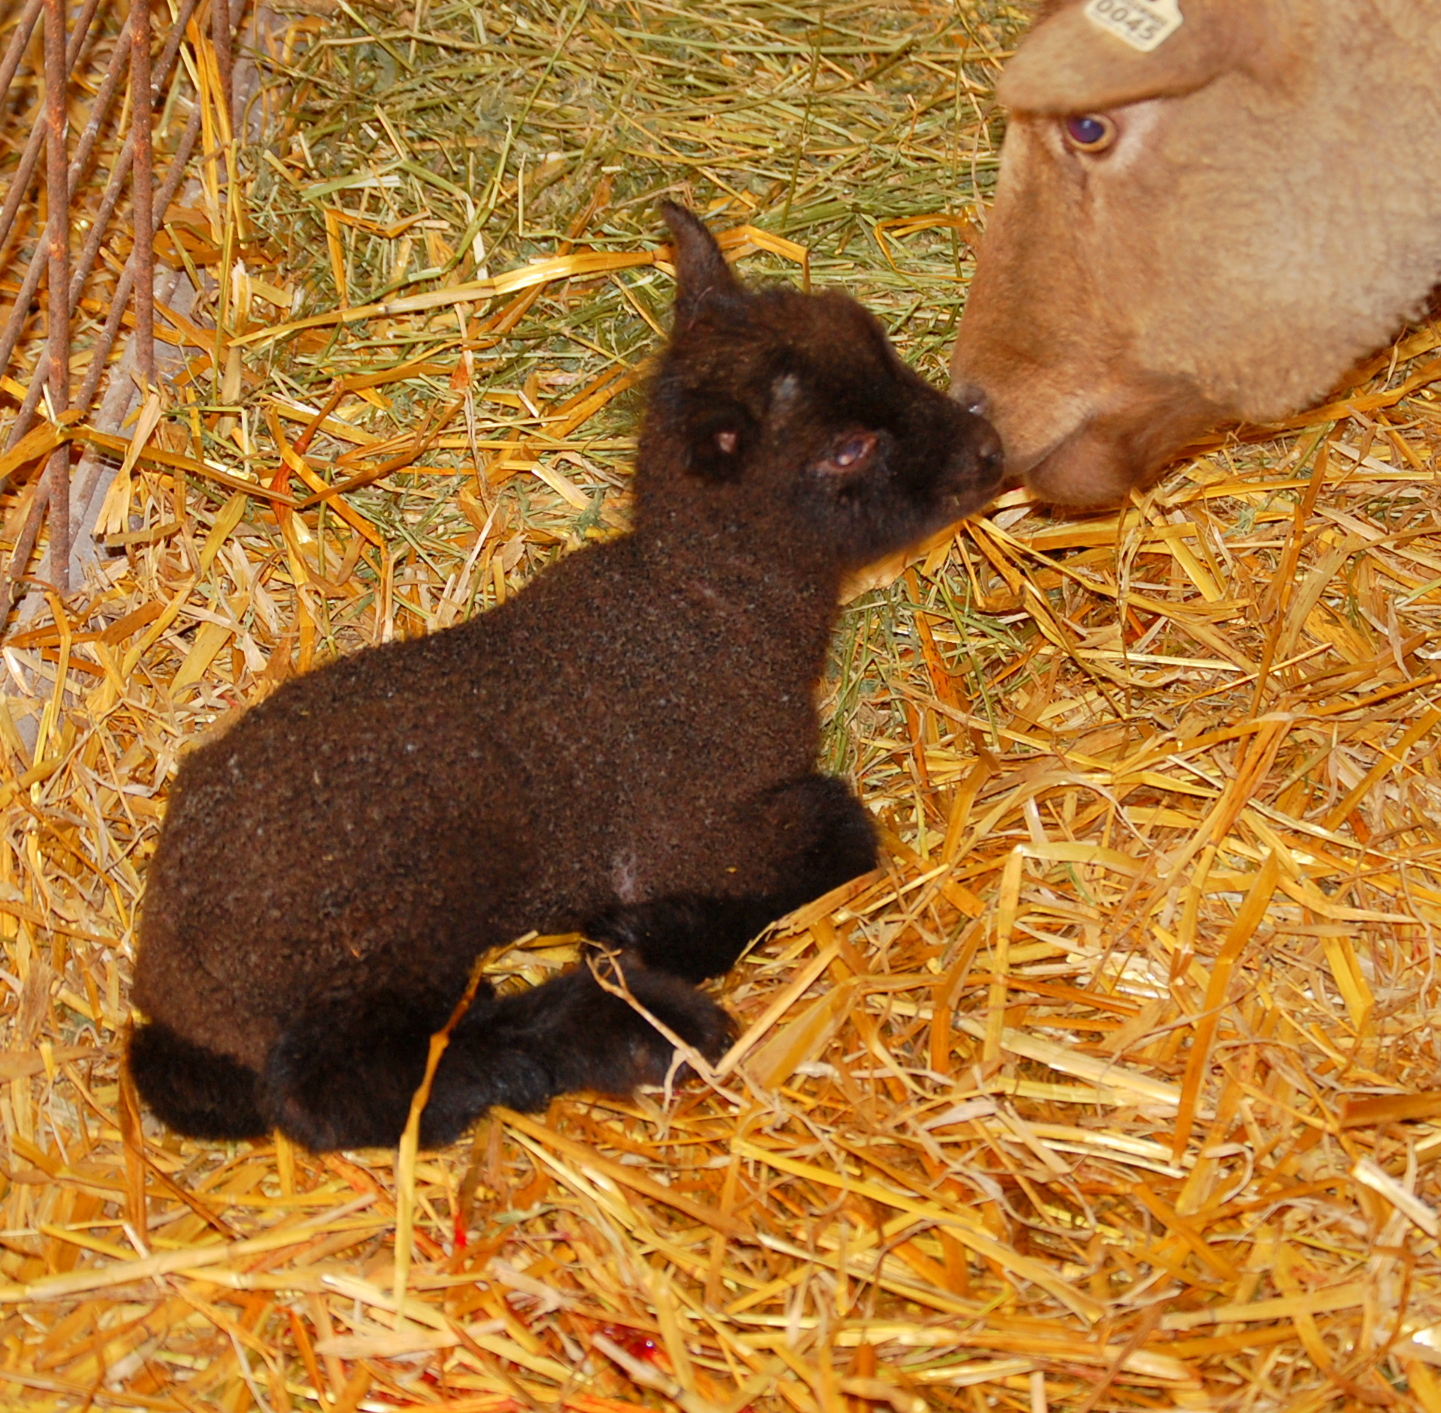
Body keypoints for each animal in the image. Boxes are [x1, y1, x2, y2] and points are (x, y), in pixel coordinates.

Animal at [127, 203, 1004, 1153]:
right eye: (846, 448)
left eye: (882, 347)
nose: (990, 450)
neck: (704, 613)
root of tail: (165, 977)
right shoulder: (695, 827)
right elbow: (844, 830)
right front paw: (644, 936)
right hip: (374, 943)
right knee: (335, 1090)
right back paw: (622, 1036)